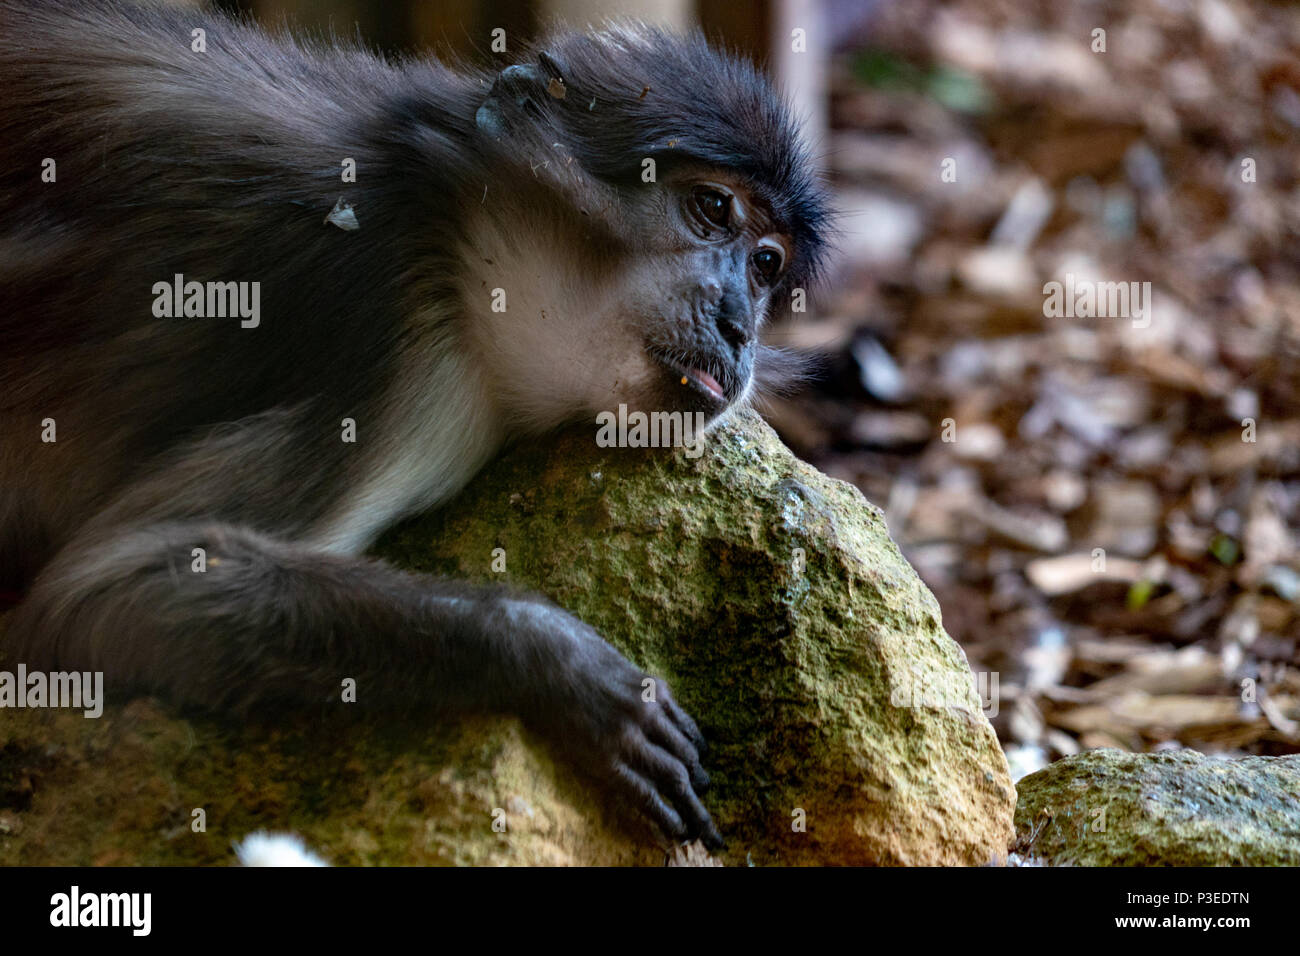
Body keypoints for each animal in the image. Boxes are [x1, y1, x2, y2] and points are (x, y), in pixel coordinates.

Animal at [0, 0, 829, 851]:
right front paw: (558, 661)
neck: (456, 223)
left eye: (766, 266)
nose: (739, 328)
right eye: (713, 209)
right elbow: (101, 594)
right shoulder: (394, 336)